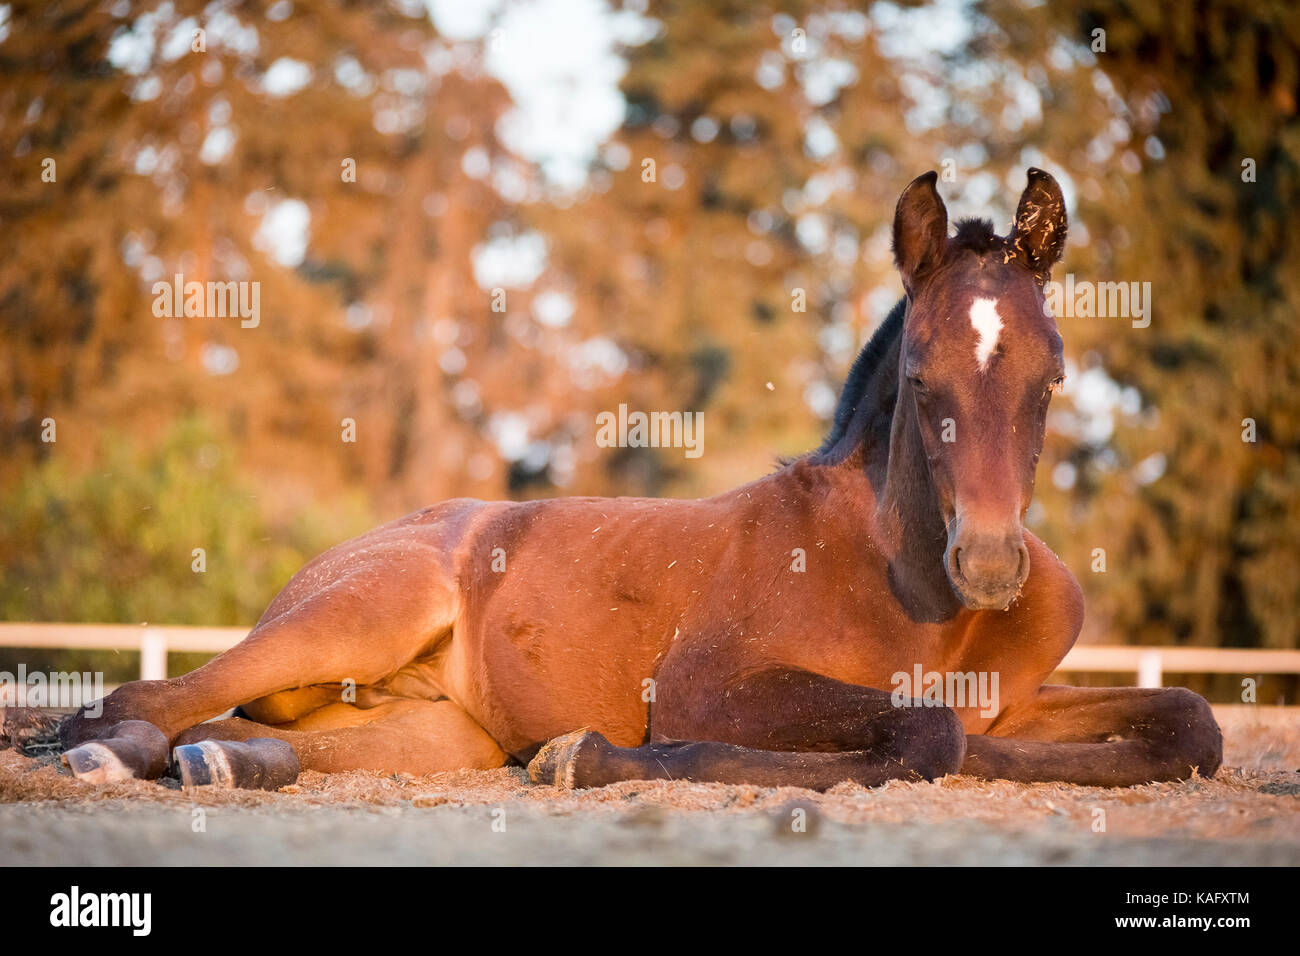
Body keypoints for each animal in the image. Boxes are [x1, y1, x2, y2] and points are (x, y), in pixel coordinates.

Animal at [58, 168, 1223, 791]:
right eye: (921, 373)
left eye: (1052, 373)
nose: (988, 562)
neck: (912, 589)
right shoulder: (713, 684)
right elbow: (923, 731)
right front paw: (592, 756)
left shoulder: (1015, 697)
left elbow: (1189, 724)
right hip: (363, 610)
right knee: (147, 698)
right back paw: (108, 753)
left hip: (425, 730)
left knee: (236, 733)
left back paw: (228, 763)